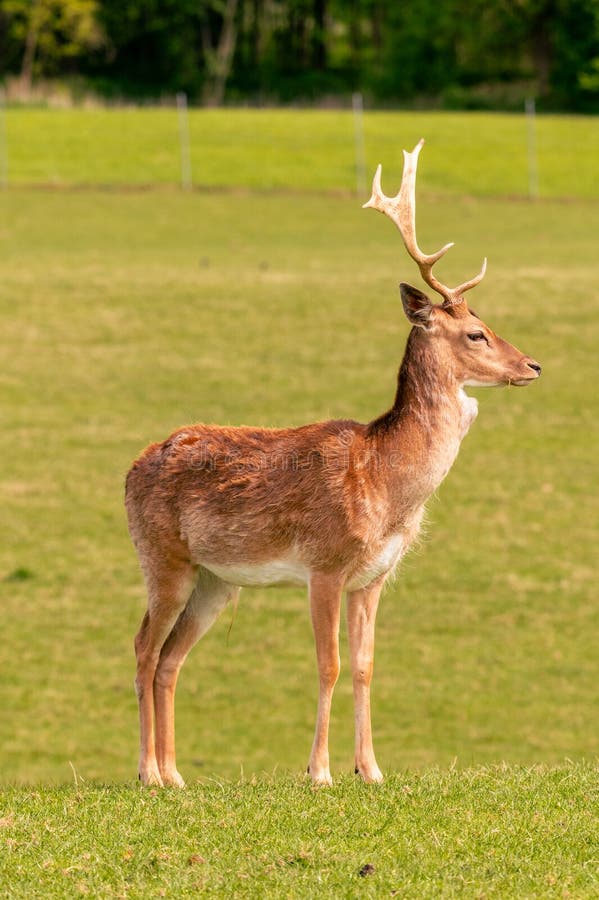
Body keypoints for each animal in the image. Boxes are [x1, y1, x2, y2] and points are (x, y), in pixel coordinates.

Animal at [126, 139, 541, 788]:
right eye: (476, 333)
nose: (533, 365)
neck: (386, 482)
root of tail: (129, 469)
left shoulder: (374, 576)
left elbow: (366, 666)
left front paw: (370, 769)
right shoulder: (323, 564)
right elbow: (330, 664)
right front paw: (318, 771)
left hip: (215, 579)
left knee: (171, 658)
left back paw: (175, 776)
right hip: (161, 557)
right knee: (144, 647)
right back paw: (147, 773)